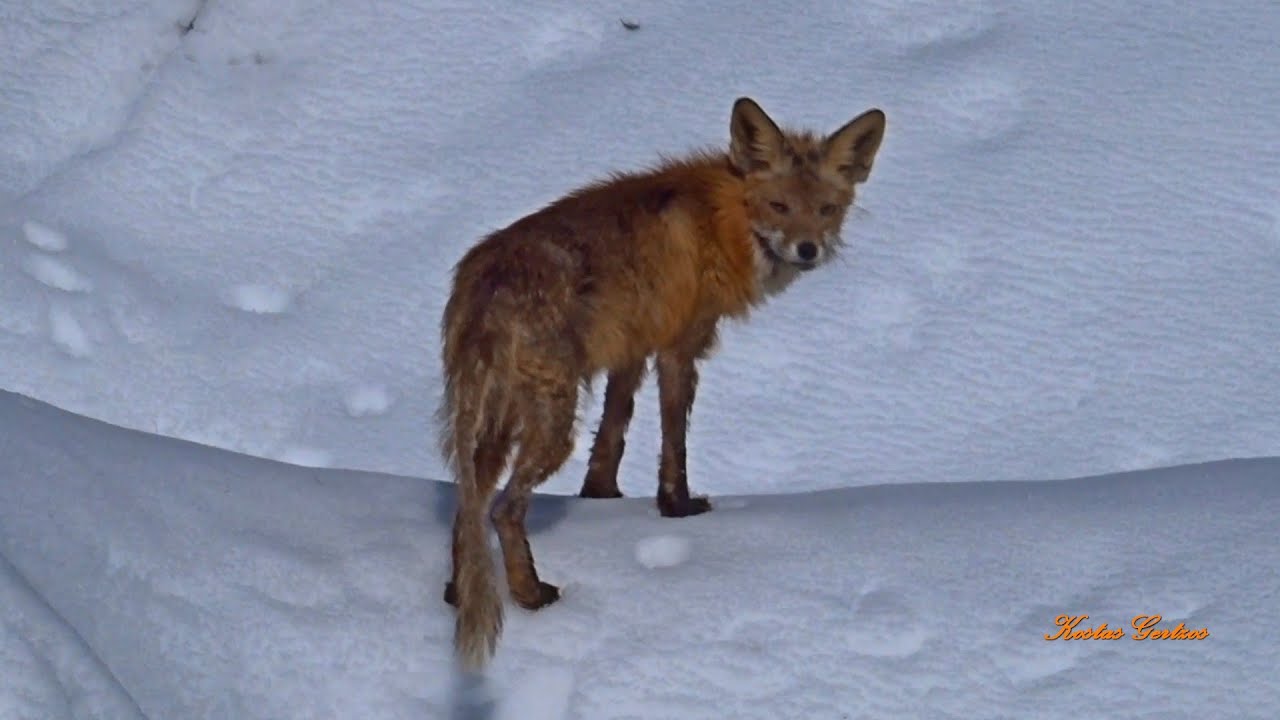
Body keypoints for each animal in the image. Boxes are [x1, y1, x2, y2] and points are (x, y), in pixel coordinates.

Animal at [437, 96, 886, 672]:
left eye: (826, 209)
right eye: (780, 206)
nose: (807, 249)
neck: (722, 220)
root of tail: (483, 279)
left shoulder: (631, 351)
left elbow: (612, 436)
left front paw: (602, 499)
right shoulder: (679, 346)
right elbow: (675, 442)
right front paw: (677, 509)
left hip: (496, 423)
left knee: (467, 509)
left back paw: (461, 592)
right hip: (551, 420)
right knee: (504, 510)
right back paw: (531, 595)